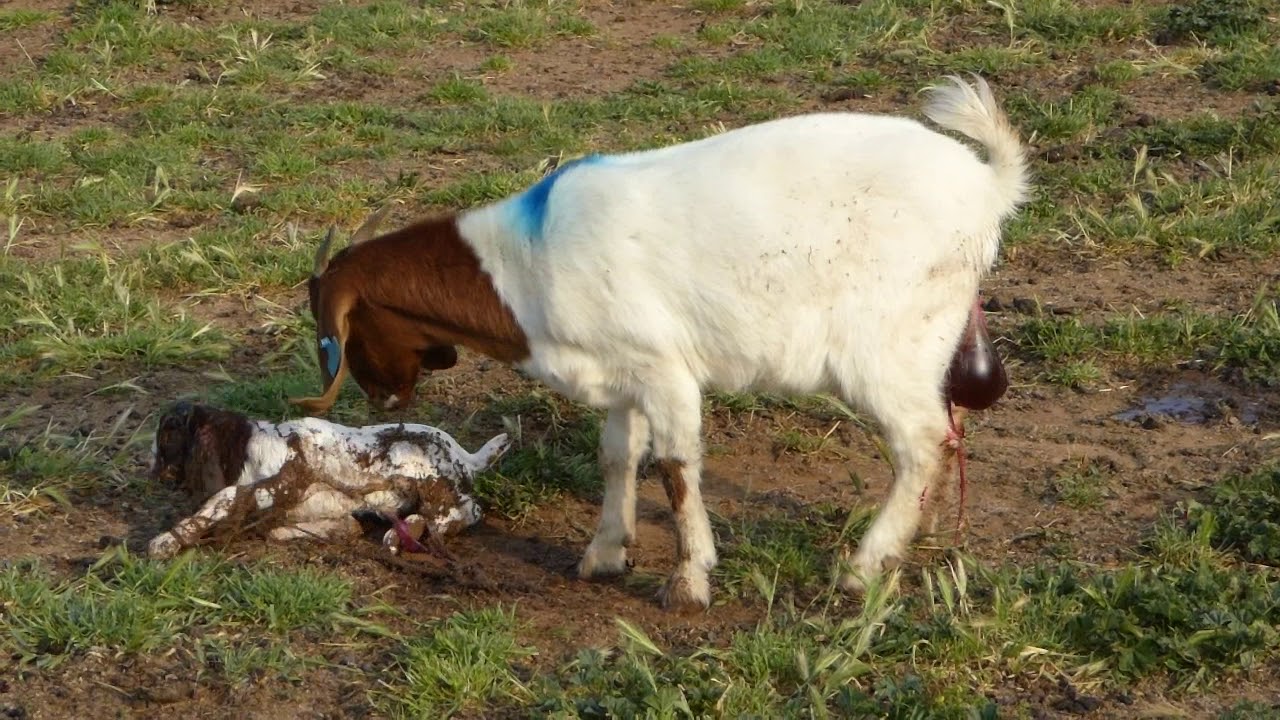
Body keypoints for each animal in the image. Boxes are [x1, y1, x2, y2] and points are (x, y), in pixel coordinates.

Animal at [146, 401, 509, 559]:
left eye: (167, 435)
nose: (150, 467)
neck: (254, 445)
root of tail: (467, 457)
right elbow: (339, 526)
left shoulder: (265, 488)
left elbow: (218, 502)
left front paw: (163, 543)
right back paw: (401, 533)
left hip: (442, 492)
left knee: (465, 512)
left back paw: (402, 535)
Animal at [289, 75, 1030, 612]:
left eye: (343, 334)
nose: (382, 399)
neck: (522, 261)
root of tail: (988, 184)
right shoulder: (620, 376)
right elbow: (618, 457)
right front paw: (604, 555)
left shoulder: (665, 369)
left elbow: (674, 467)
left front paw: (689, 584)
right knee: (943, 436)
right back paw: (916, 536)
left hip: (885, 346)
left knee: (921, 441)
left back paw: (861, 569)